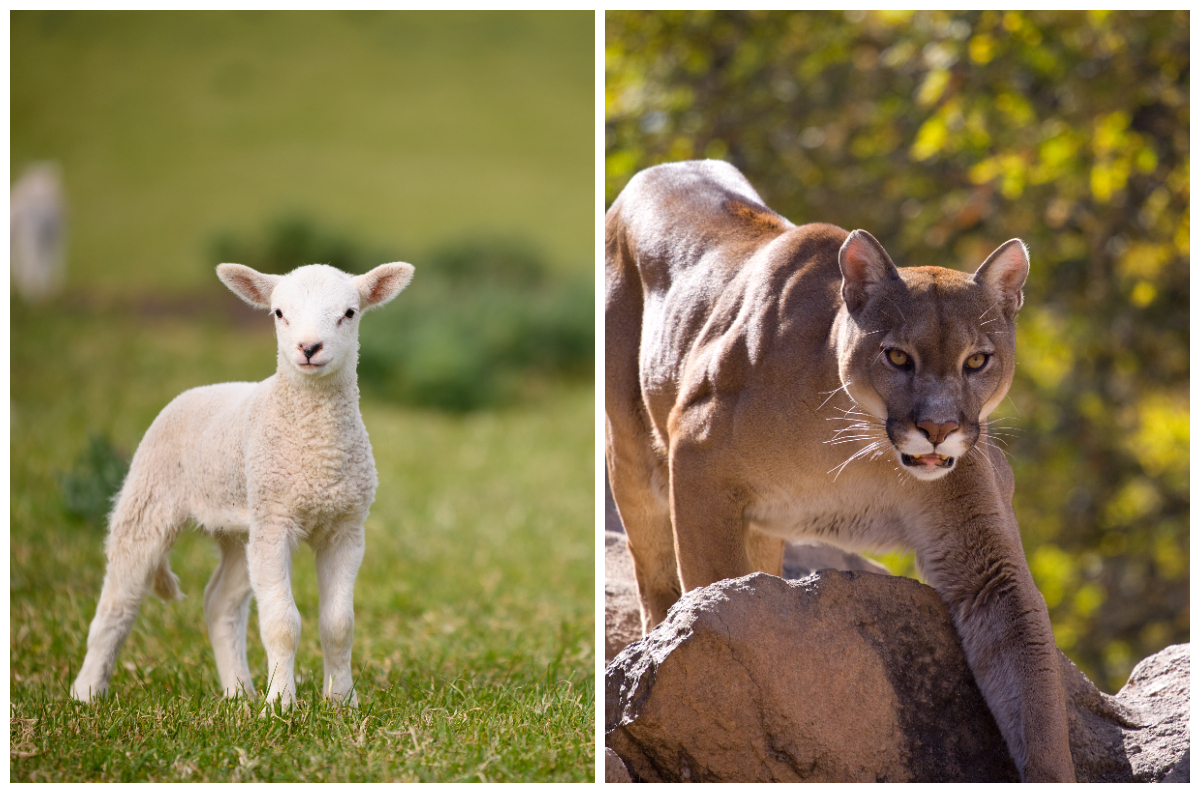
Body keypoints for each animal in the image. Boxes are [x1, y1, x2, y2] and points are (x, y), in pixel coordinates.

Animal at [70, 261, 414, 710]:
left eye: (349, 313)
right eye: (279, 313)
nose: (309, 348)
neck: (316, 452)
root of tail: (206, 388)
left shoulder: (345, 527)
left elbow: (339, 624)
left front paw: (342, 702)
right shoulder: (275, 521)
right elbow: (282, 623)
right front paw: (281, 706)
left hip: (241, 526)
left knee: (220, 603)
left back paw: (238, 692)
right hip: (150, 496)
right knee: (119, 600)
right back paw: (86, 693)